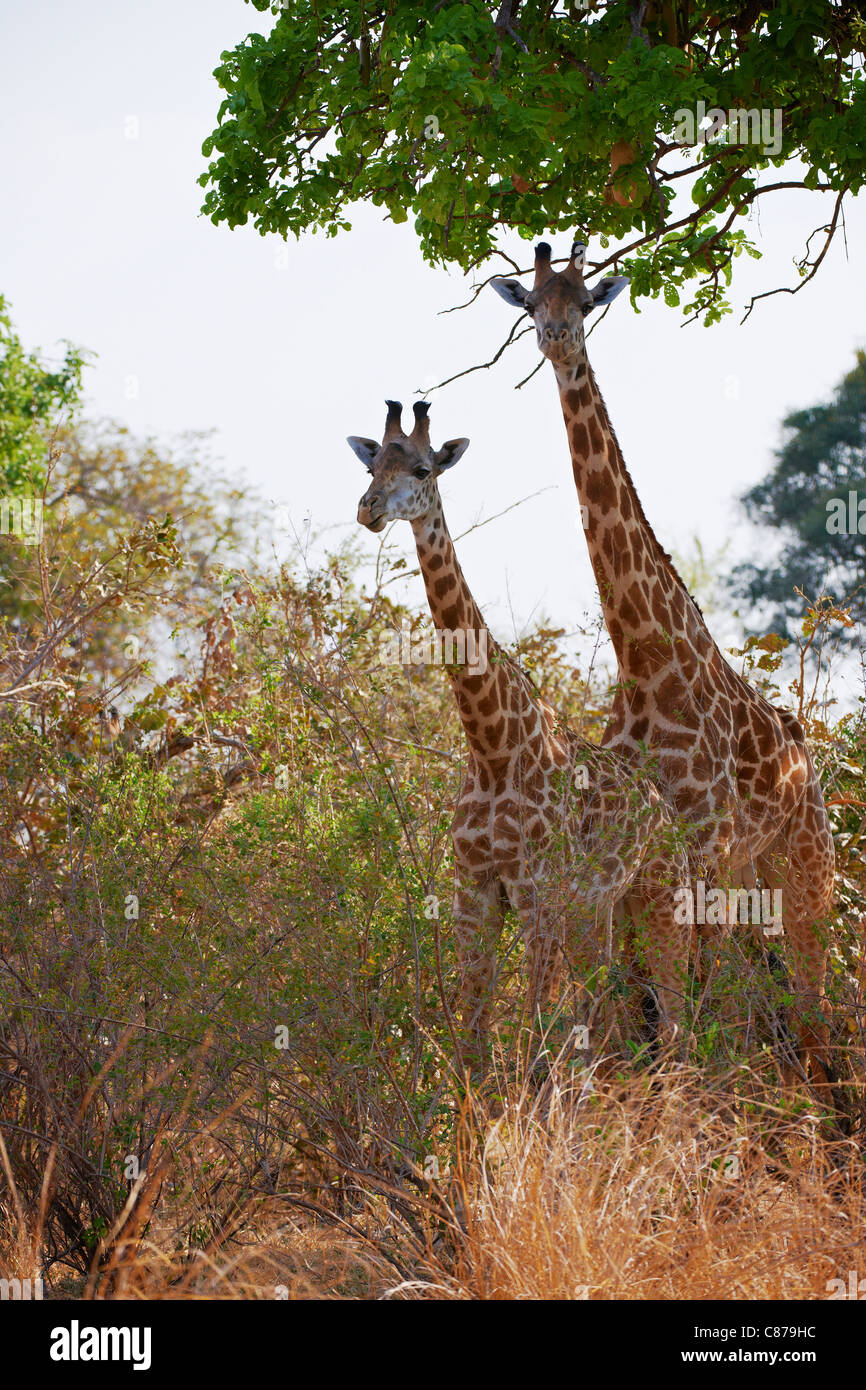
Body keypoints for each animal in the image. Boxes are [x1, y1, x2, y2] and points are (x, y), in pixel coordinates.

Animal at [348, 399, 690, 1071]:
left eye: (424, 469)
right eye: (372, 463)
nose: (369, 509)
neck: (493, 746)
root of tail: (664, 810)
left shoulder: (538, 895)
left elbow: (535, 1032)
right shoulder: (475, 893)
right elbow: (474, 1040)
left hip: (657, 900)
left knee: (673, 1026)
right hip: (605, 912)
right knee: (617, 1017)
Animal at [492, 240, 837, 1088]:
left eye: (585, 301)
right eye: (531, 303)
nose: (556, 339)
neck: (645, 654)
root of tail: (810, 764)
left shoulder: (703, 841)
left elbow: (688, 1000)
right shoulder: (646, 856)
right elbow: (636, 1005)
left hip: (803, 866)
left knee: (810, 1005)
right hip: (752, 879)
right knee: (770, 1000)